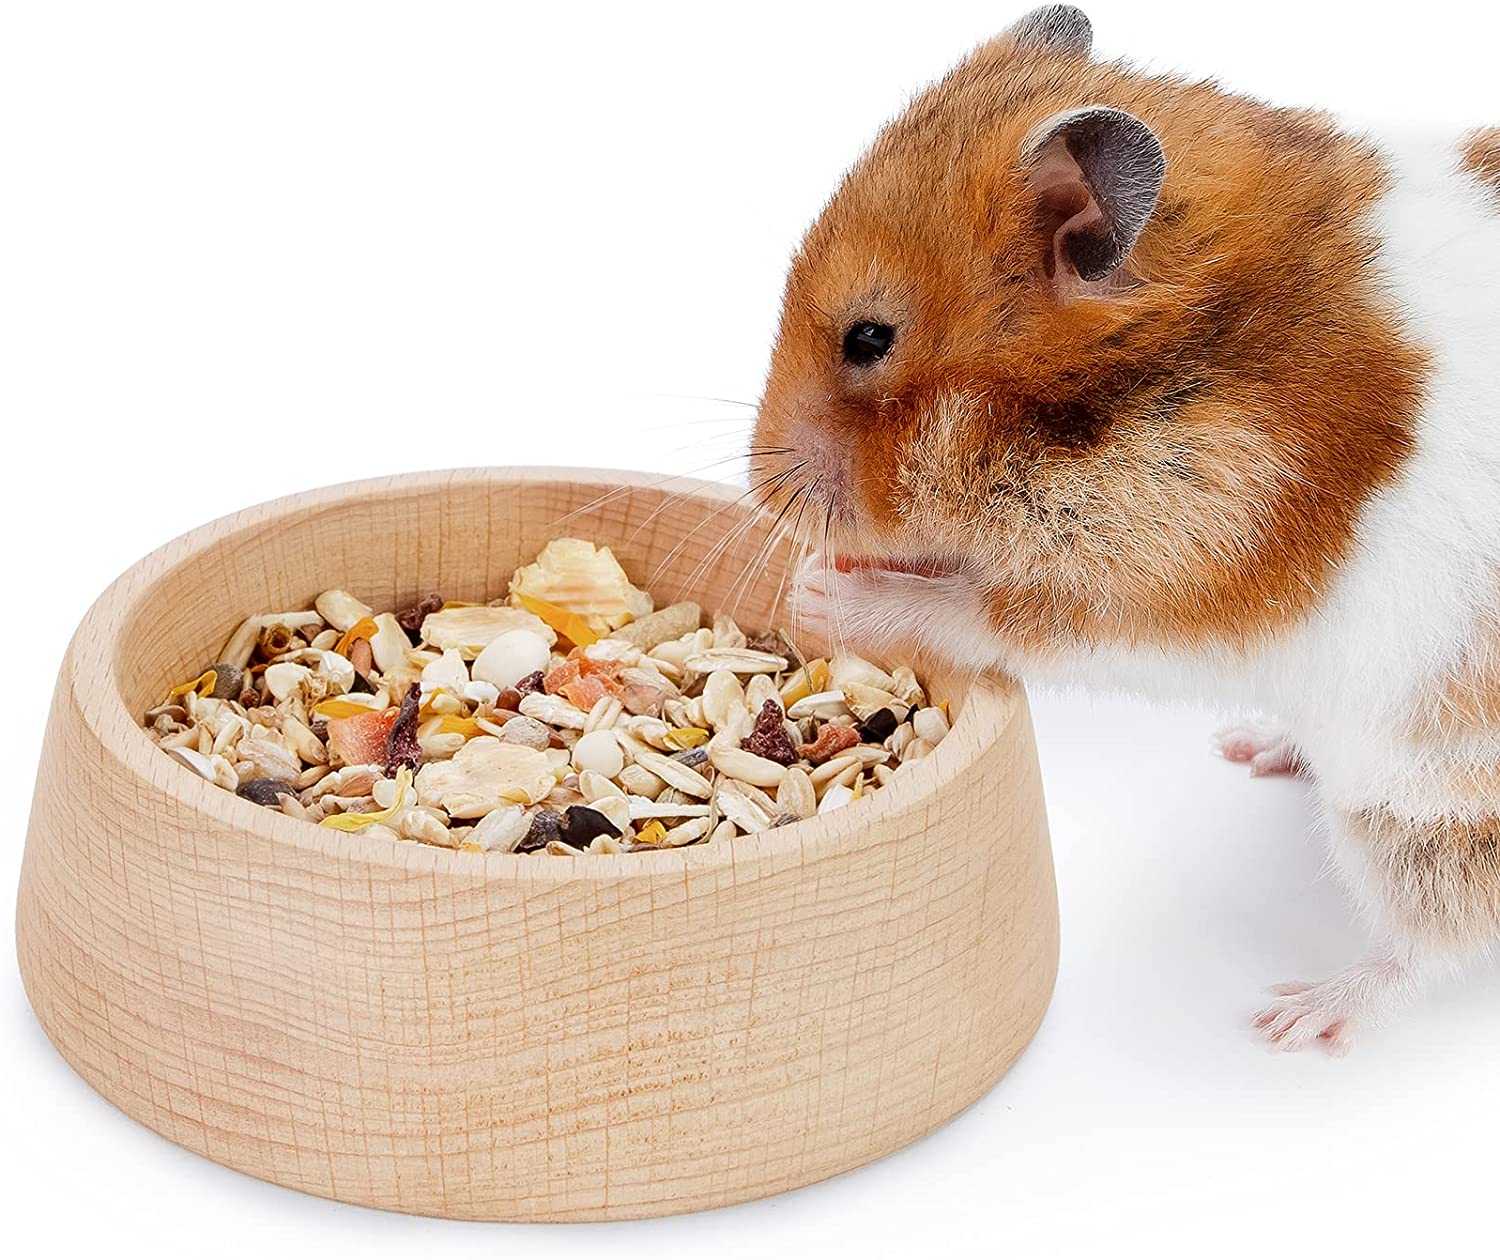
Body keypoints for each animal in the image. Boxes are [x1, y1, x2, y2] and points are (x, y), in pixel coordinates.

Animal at [749, 4, 1500, 1054]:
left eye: (868, 338)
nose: (757, 489)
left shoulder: (1165, 580)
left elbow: (976, 612)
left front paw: (821, 587)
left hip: (1430, 806)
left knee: (1432, 940)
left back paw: (1295, 1017)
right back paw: (1255, 748)